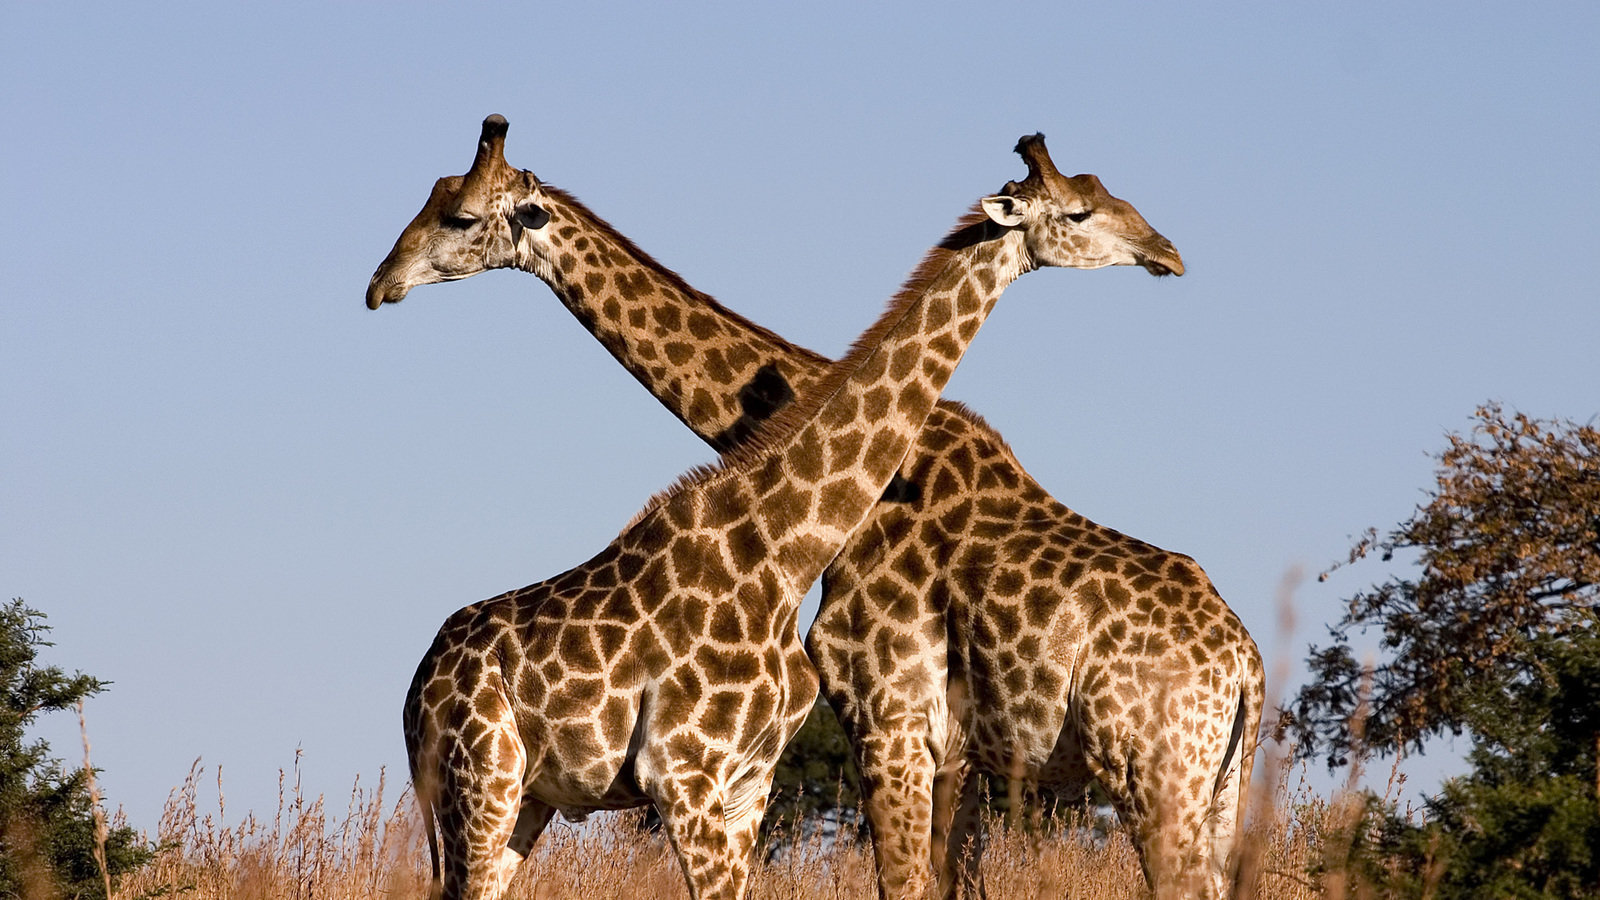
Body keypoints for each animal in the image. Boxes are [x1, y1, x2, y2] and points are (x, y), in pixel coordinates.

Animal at [370, 116, 1258, 899]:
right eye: (1082, 207)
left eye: (457, 216)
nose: (381, 283)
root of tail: (1246, 664)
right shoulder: (893, 746)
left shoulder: (874, 733)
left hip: (1165, 774)